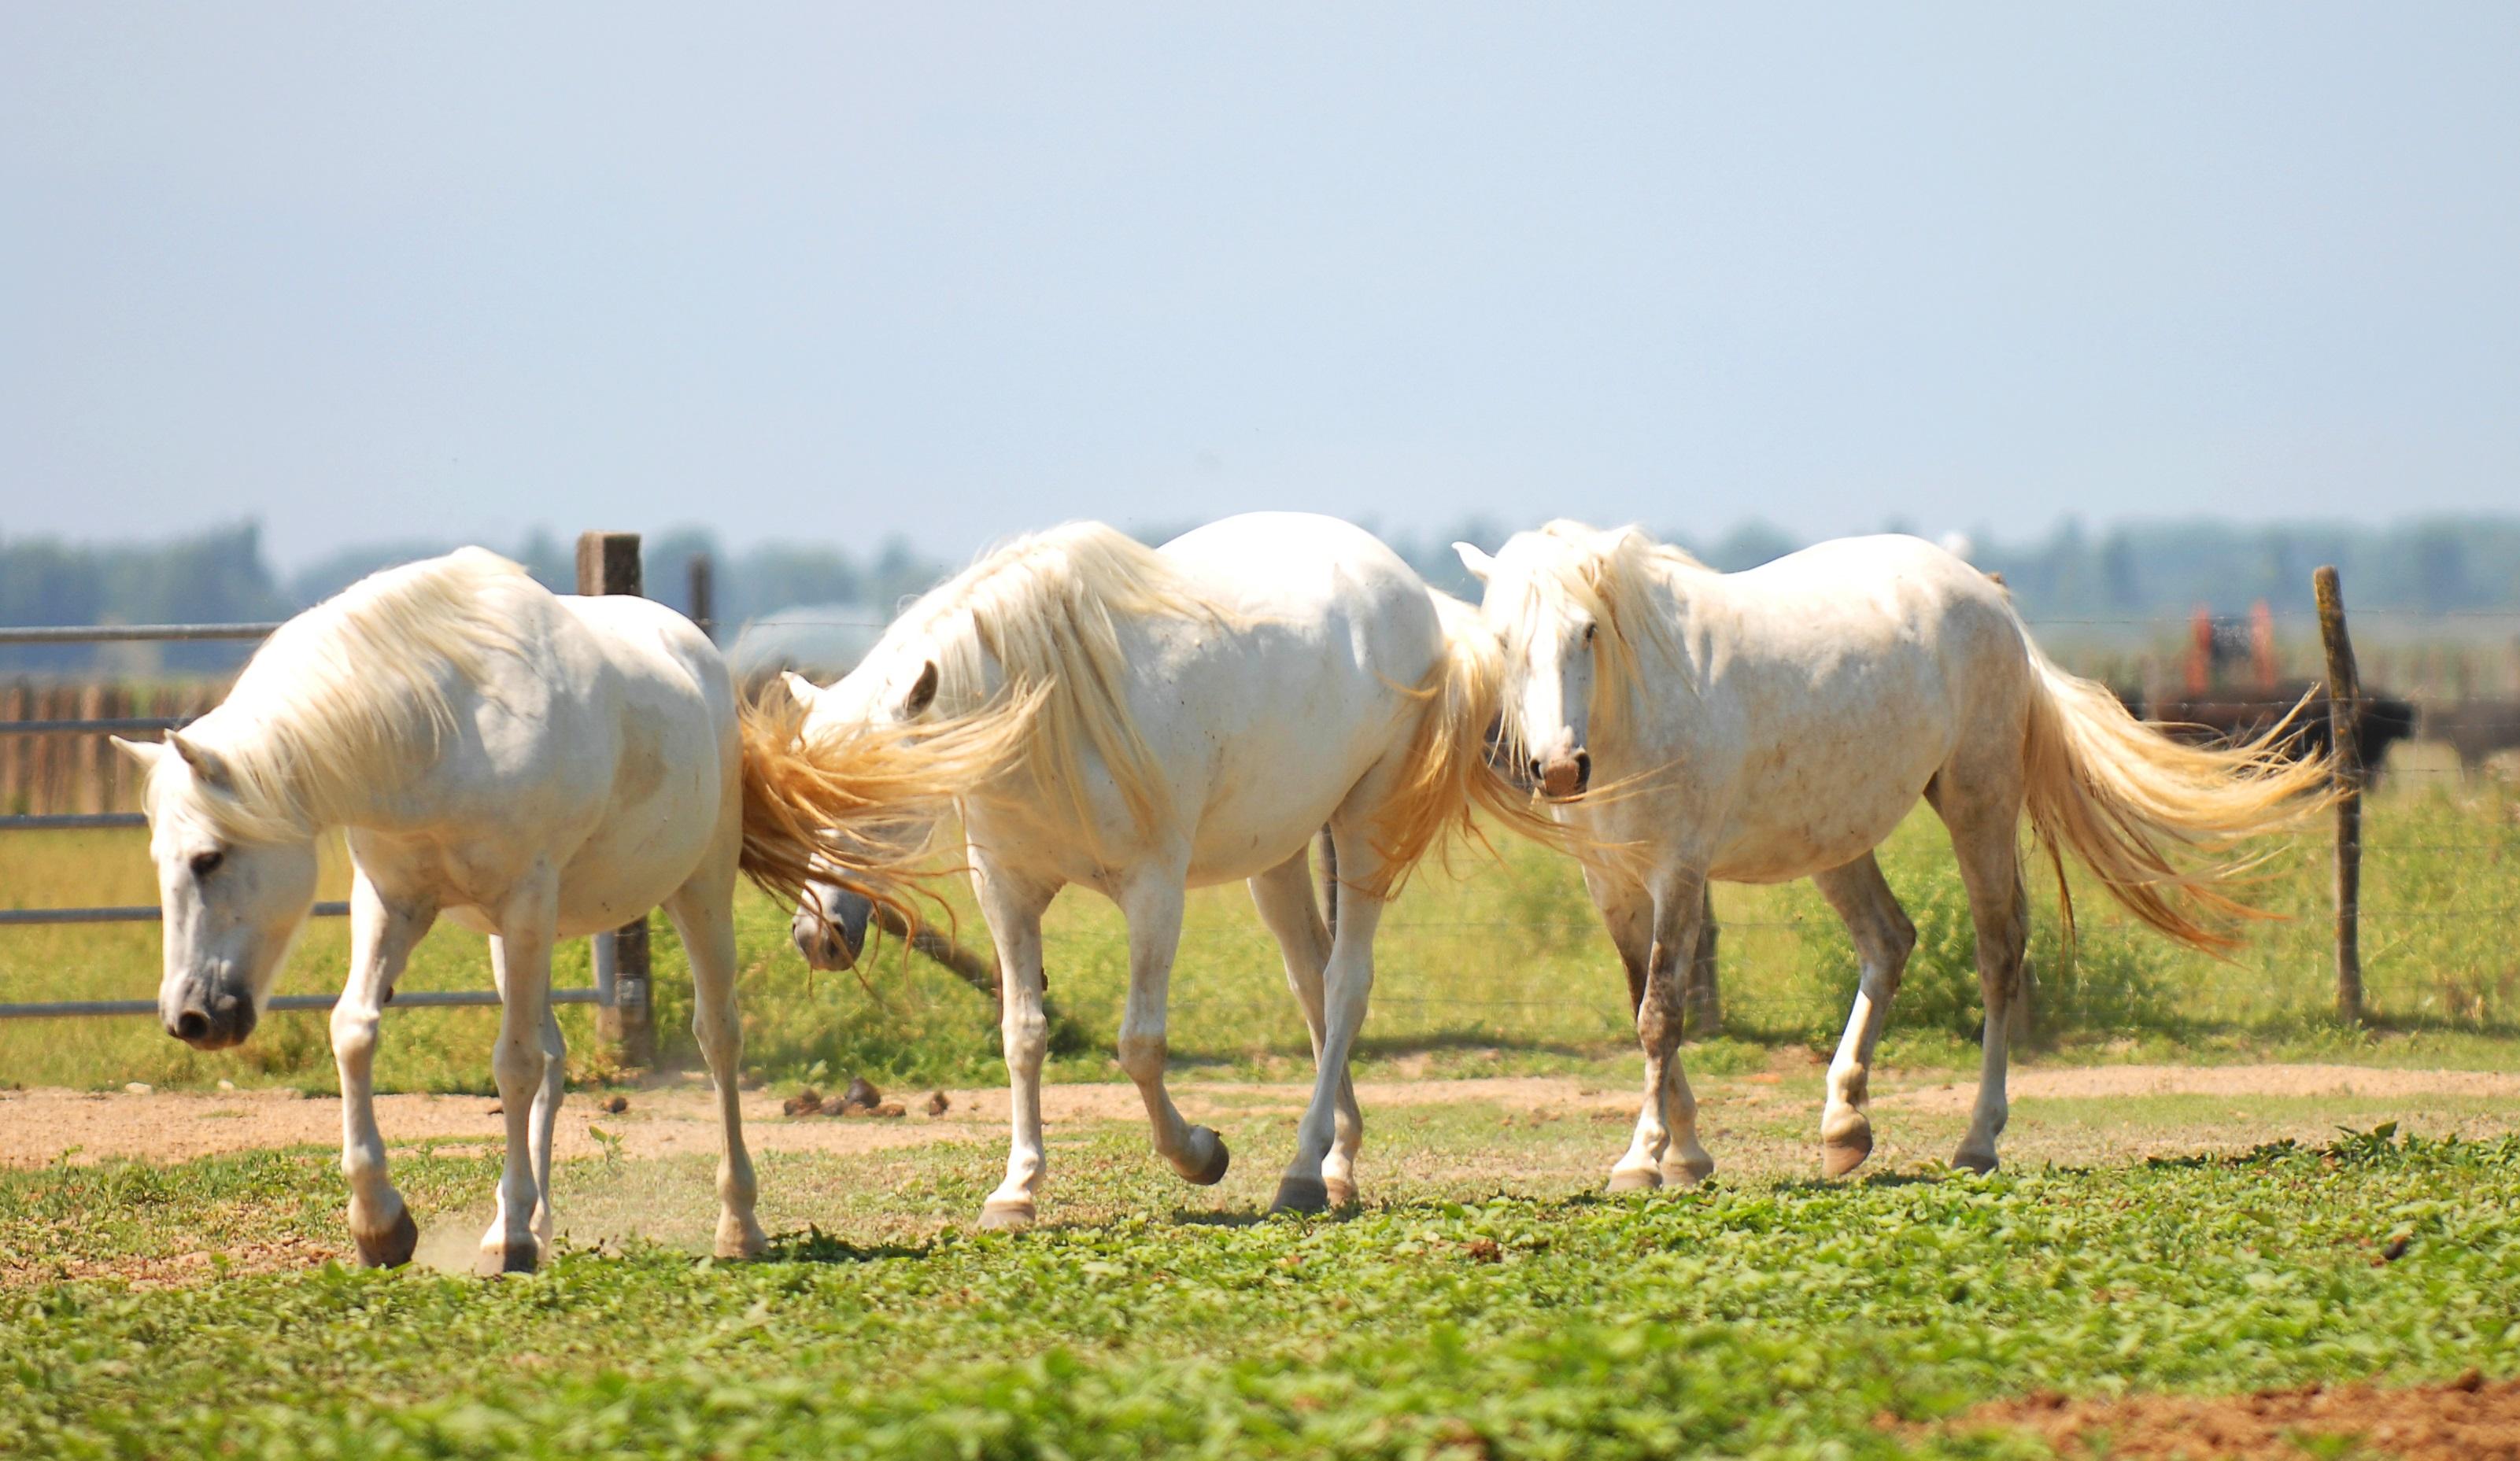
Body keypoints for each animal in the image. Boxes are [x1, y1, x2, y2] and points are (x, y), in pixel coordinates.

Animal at [114, 548, 956, 1274]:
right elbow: (355, 1031)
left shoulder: (525, 899)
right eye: (159, 860)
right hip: (516, 936)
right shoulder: (392, 901)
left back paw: (737, 1226)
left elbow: (512, 1063)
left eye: (209, 858)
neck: (443, 725)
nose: (189, 1017)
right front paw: (385, 1223)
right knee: (554, 1056)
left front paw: (510, 1237)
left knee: (716, 1040)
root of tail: (695, 649)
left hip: (696, 890)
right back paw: (523, 1223)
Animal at [777, 512, 1543, 1228]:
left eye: (880, 798)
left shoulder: (1154, 892)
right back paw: (1336, 1162)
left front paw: (1200, 1154)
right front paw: (1016, 1189)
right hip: (1278, 855)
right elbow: (1023, 1034)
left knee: (1345, 983)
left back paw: (1300, 1170)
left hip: (1365, 828)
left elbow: (1140, 1045)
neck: (1055, 715)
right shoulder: (1006, 890)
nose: (820, 935)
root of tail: (1414, 593)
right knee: (1311, 982)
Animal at [1456, 523, 2331, 1185]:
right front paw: (1689, 1155)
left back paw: (1975, 1141)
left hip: (1977, 802)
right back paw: (1845, 1125)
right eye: (1501, 640)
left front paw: (1644, 1159)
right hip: (1836, 841)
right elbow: (1646, 1006)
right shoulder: (1610, 882)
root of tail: (1989, 598)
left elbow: (1660, 1014)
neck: (1635, 705)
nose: (1559, 768)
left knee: (1997, 952)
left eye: (1588, 631)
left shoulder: (1678, 872)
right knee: (1889, 941)